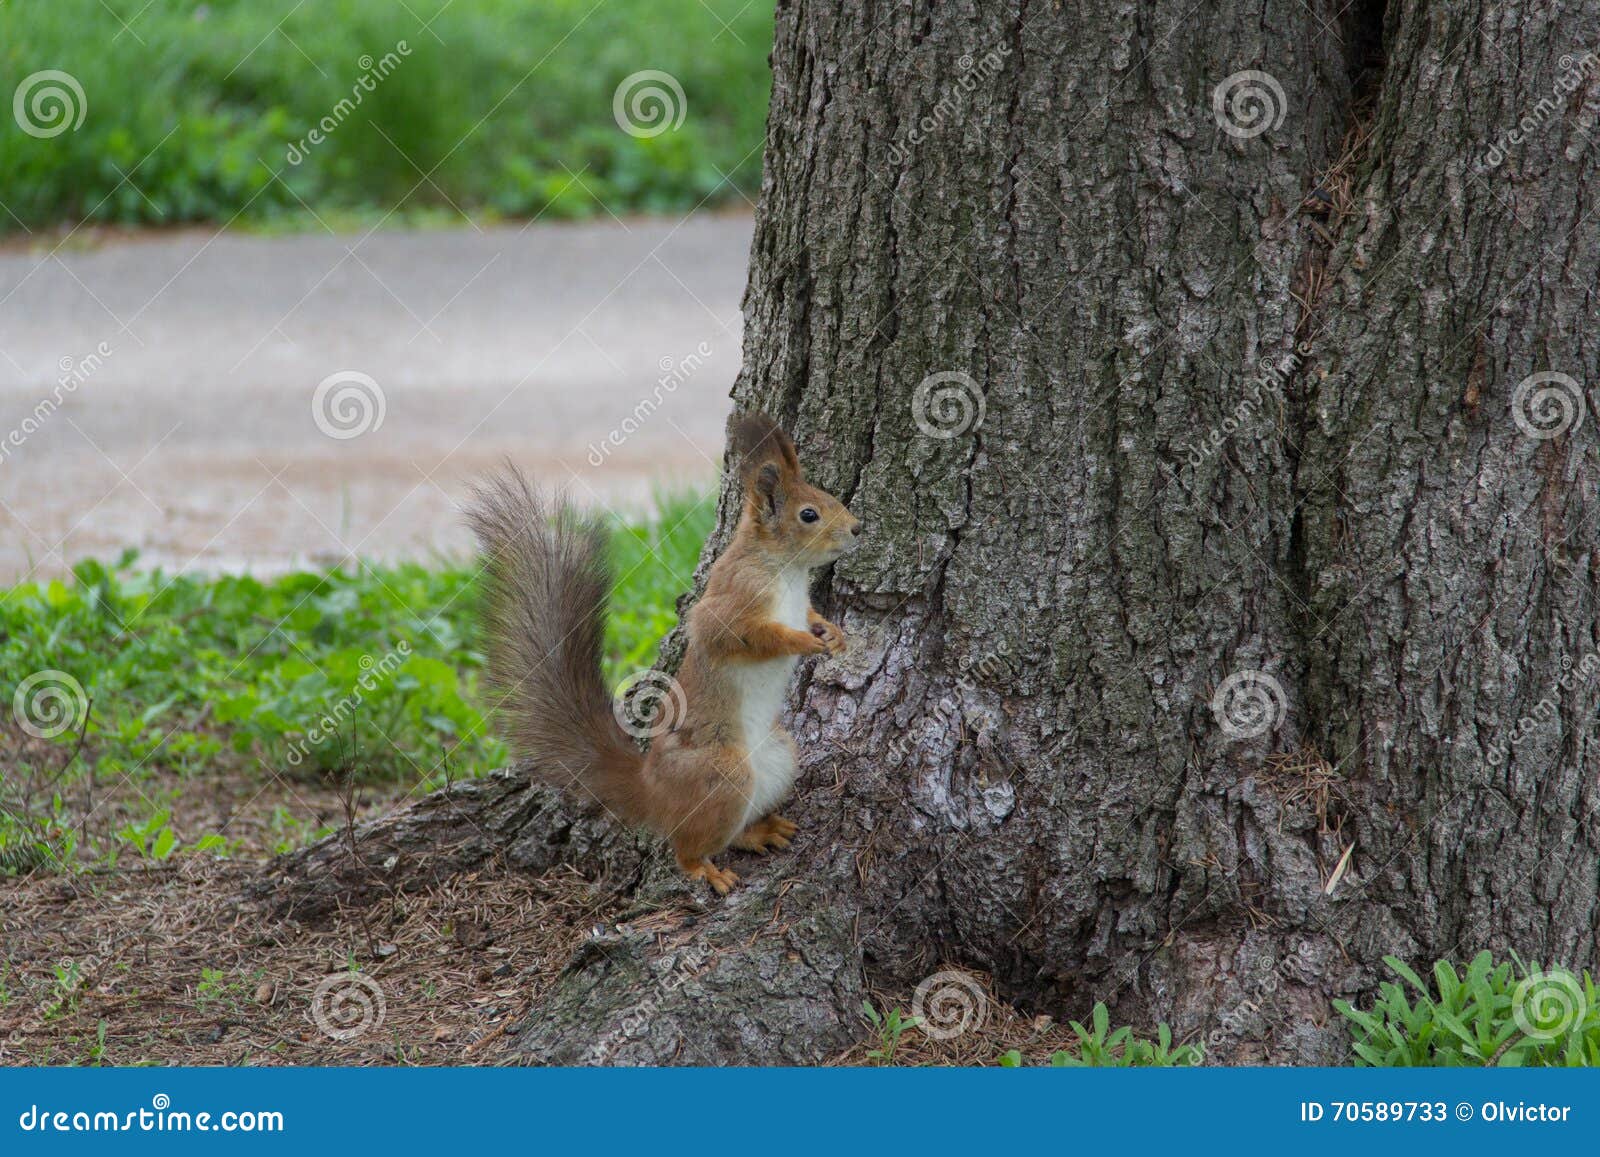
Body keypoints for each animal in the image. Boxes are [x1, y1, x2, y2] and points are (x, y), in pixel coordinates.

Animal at [466, 413, 862, 894]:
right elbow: (743, 635)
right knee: (685, 846)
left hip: (779, 758)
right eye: (809, 514)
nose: (858, 529)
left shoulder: (798, 603)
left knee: (731, 830)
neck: (785, 570)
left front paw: (833, 634)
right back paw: (705, 871)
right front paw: (803, 643)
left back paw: (762, 831)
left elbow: (810, 614)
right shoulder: (729, 603)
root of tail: (653, 789)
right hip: (723, 774)